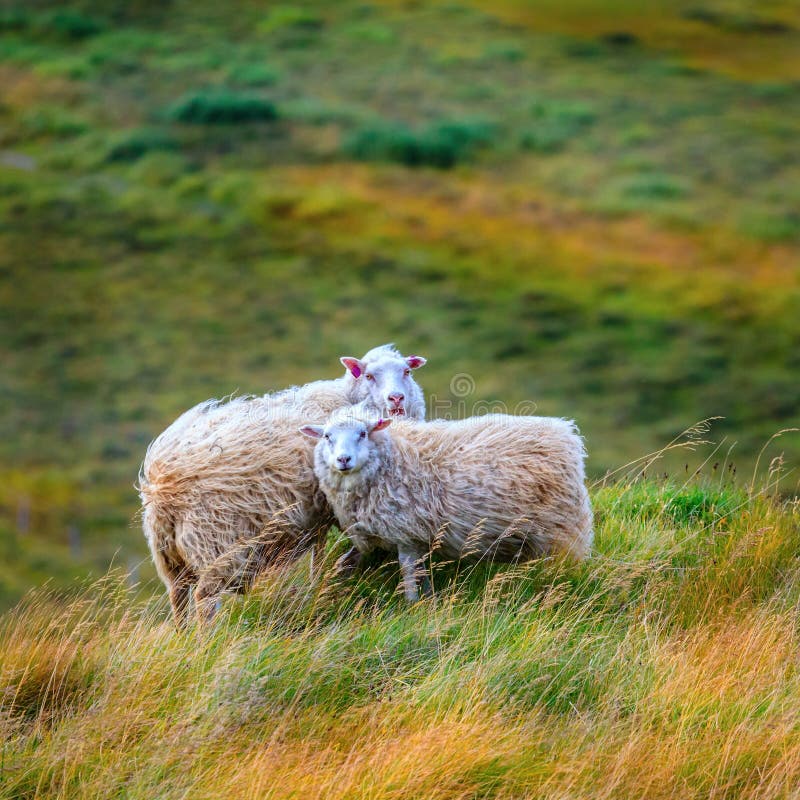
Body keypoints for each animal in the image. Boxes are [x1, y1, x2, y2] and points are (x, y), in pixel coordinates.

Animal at [138, 345, 427, 626]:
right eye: (368, 376)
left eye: (407, 372)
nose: (396, 399)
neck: (348, 400)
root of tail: (163, 478)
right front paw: (339, 576)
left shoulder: (319, 512)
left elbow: (319, 555)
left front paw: (320, 584)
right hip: (215, 540)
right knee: (204, 598)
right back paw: (208, 638)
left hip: (167, 552)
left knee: (178, 596)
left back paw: (183, 635)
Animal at [301, 409, 593, 602]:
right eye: (326, 436)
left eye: (362, 433)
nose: (343, 459)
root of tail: (564, 433)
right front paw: (428, 600)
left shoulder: (407, 532)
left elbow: (408, 572)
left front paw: (412, 604)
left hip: (561, 530)